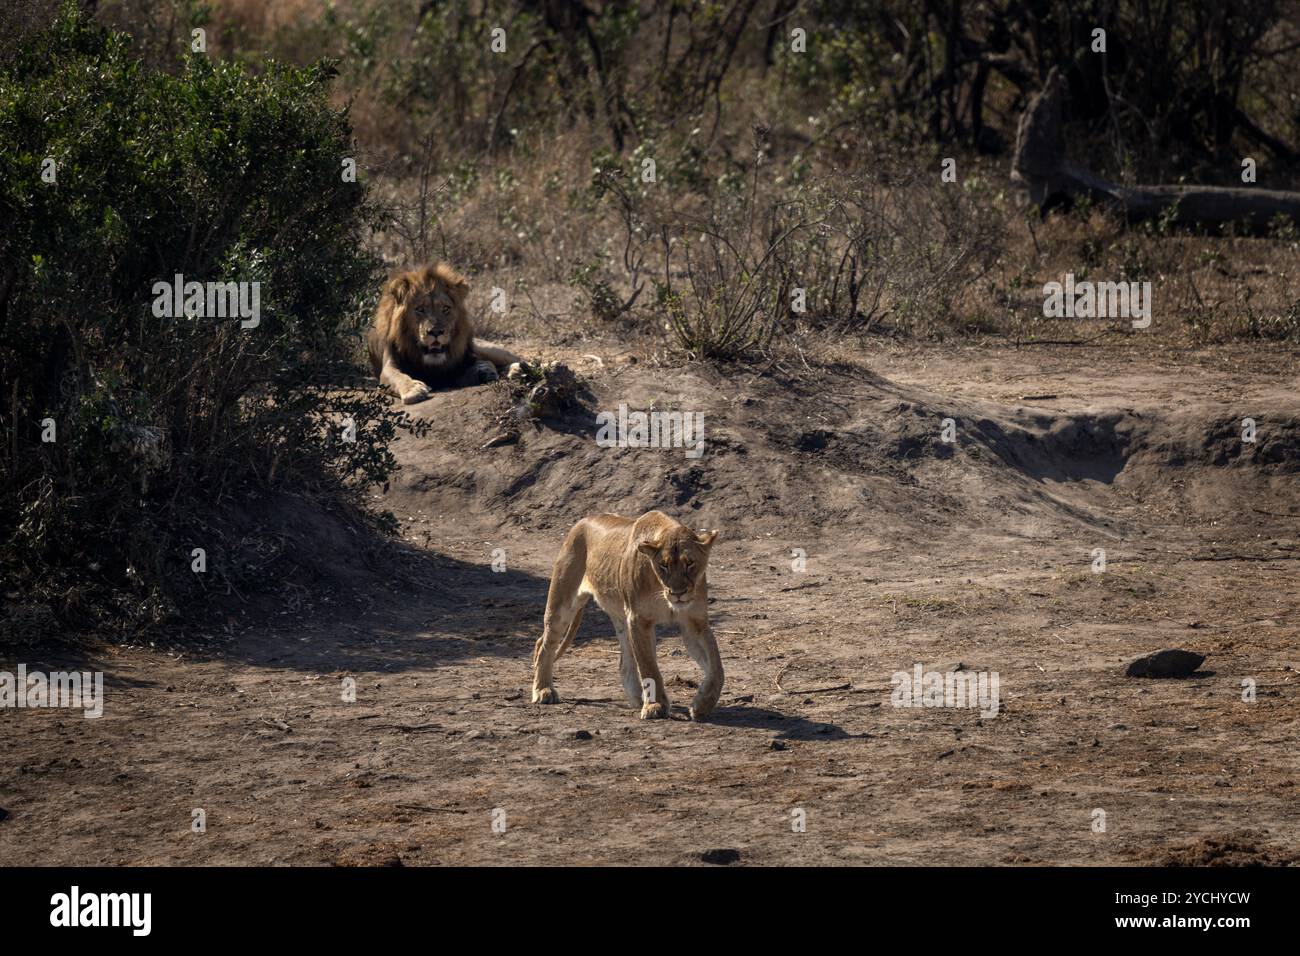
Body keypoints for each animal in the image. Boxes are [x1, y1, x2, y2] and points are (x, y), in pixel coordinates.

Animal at [367, 262, 522, 404]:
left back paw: (518, 369)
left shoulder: (454, 368)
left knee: (516, 359)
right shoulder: (389, 365)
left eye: (445, 308)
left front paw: (484, 369)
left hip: (484, 348)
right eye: (420, 309)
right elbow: (398, 377)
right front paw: (413, 389)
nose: (436, 332)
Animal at [531, 510, 723, 720]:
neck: (660, 588)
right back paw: (543, 690)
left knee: (624, 661)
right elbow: (648, 666)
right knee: (544, 644)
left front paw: (702, 704)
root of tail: (581, 521)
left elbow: (716, 668)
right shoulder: (638, 619)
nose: (678, 593)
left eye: (690, 563)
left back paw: (638, 698)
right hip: (562, 603)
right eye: (663, 565)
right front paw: (655, 706)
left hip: (621, 618)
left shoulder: (694, 622)